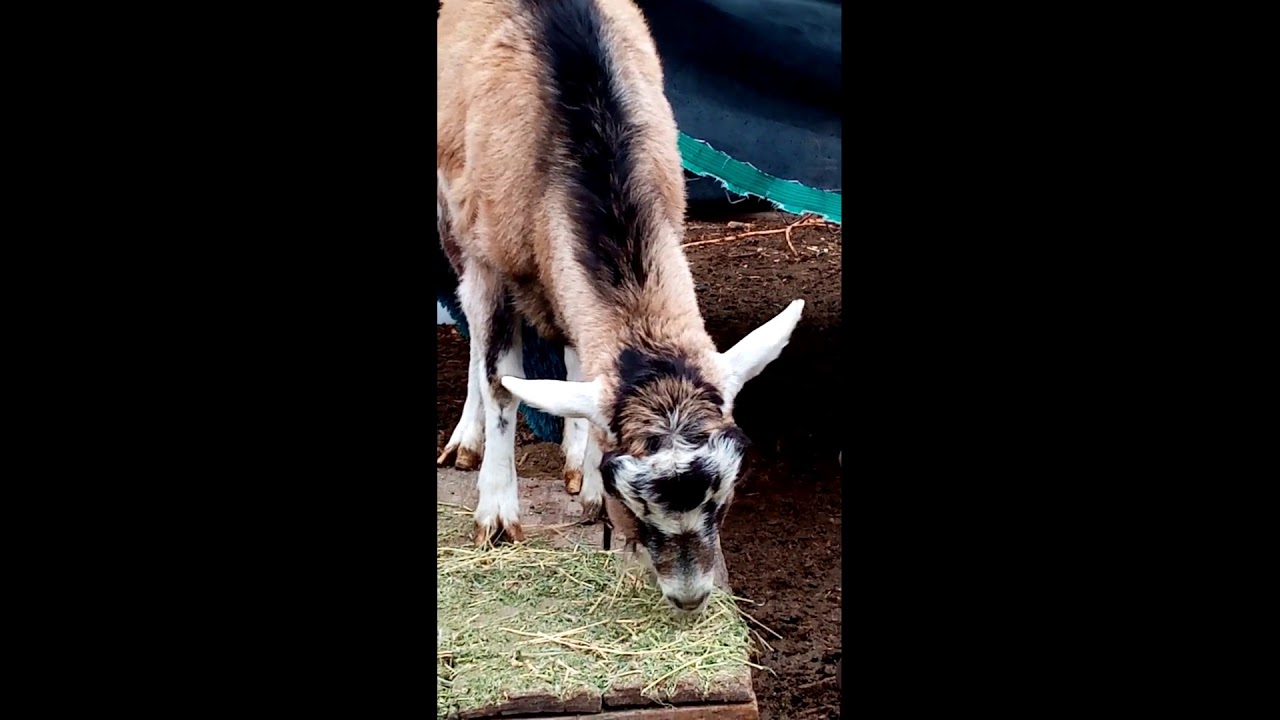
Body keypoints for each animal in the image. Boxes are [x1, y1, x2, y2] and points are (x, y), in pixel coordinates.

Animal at [436, 0, 803, 612]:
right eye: (628, 492)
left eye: (726, 490)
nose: (689, 596)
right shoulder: (490, 260)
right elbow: (499, 385)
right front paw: (497, 515)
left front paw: (583, 479)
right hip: (453, 219)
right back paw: (466, 442)